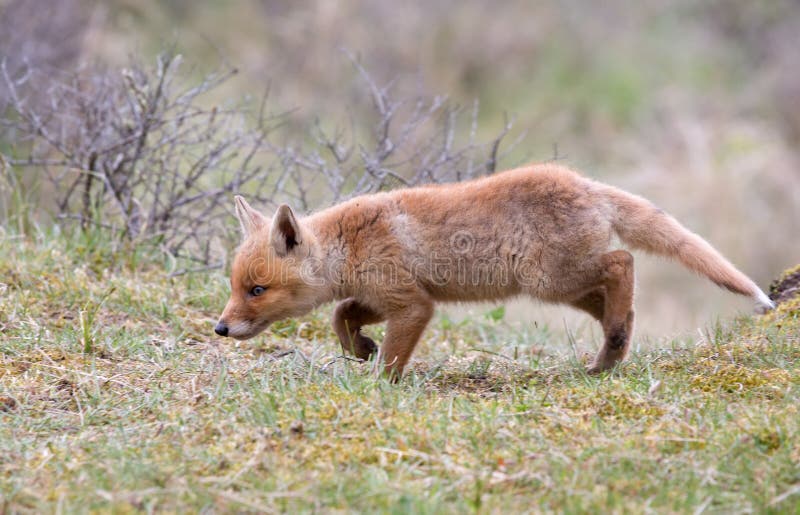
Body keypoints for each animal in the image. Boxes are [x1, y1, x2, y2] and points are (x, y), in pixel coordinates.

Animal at [215, 163, 774, 378]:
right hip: (562, 289)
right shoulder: (386, 296)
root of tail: (585, 182)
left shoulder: (414, 305)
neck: (348, 245)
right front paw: (361, 348)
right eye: (235, 287)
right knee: (620, 304)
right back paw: (610, 354)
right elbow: (341, 316)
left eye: (257, 289)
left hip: (554, 279)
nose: (220, 327)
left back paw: (611, 346)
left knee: (624, 263)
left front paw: (379, 383)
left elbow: (389, 356)